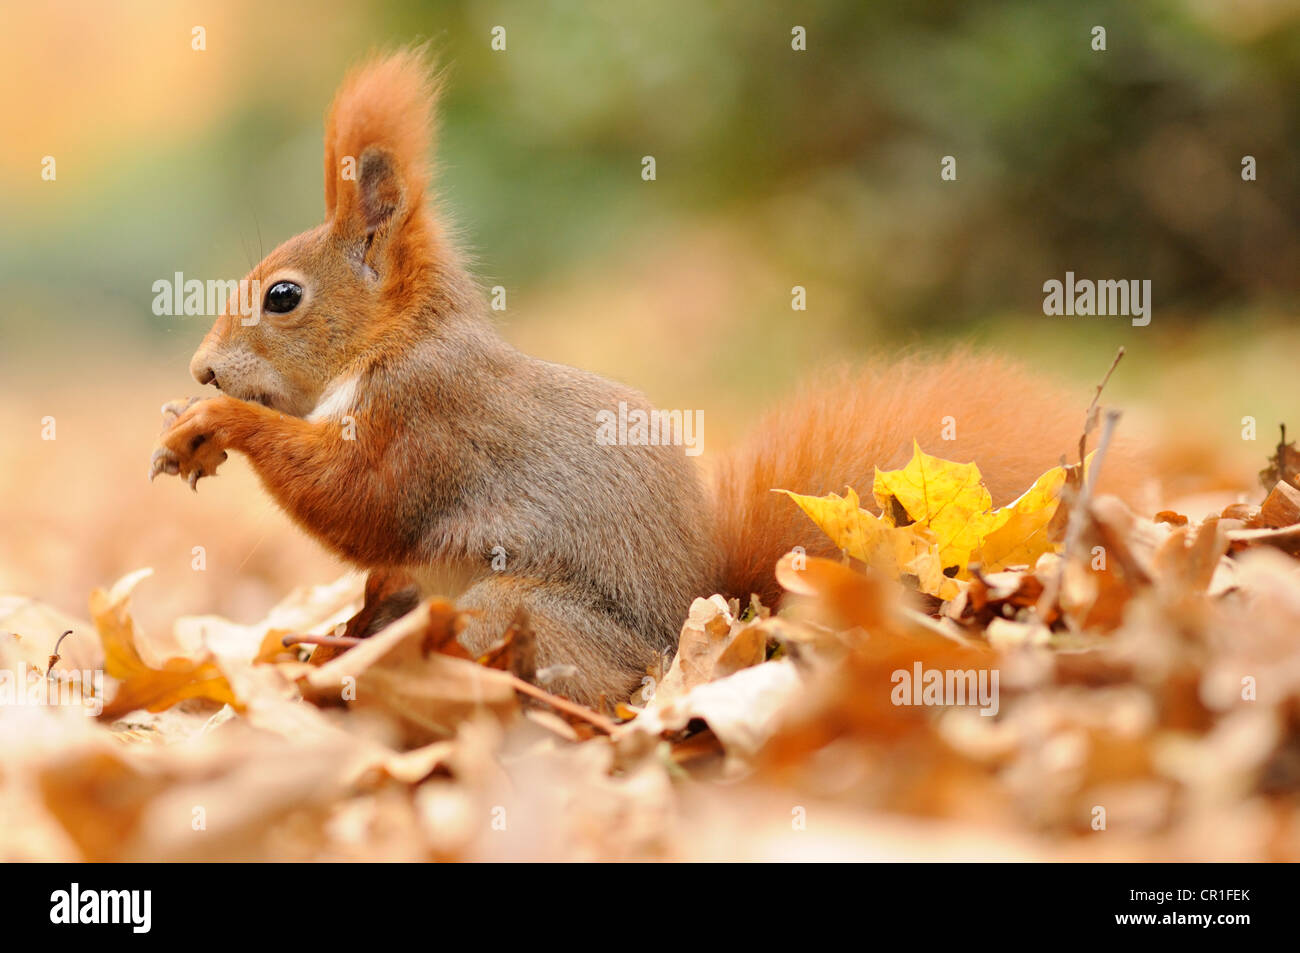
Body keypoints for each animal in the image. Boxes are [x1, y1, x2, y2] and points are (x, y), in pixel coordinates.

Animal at [149, 51, 1127, 706]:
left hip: (521, 608)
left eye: (282, 297)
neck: (396, 342)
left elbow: (361, 500)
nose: (203, 366)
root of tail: (691, 637)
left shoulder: (429, 418)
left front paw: (214, 423)